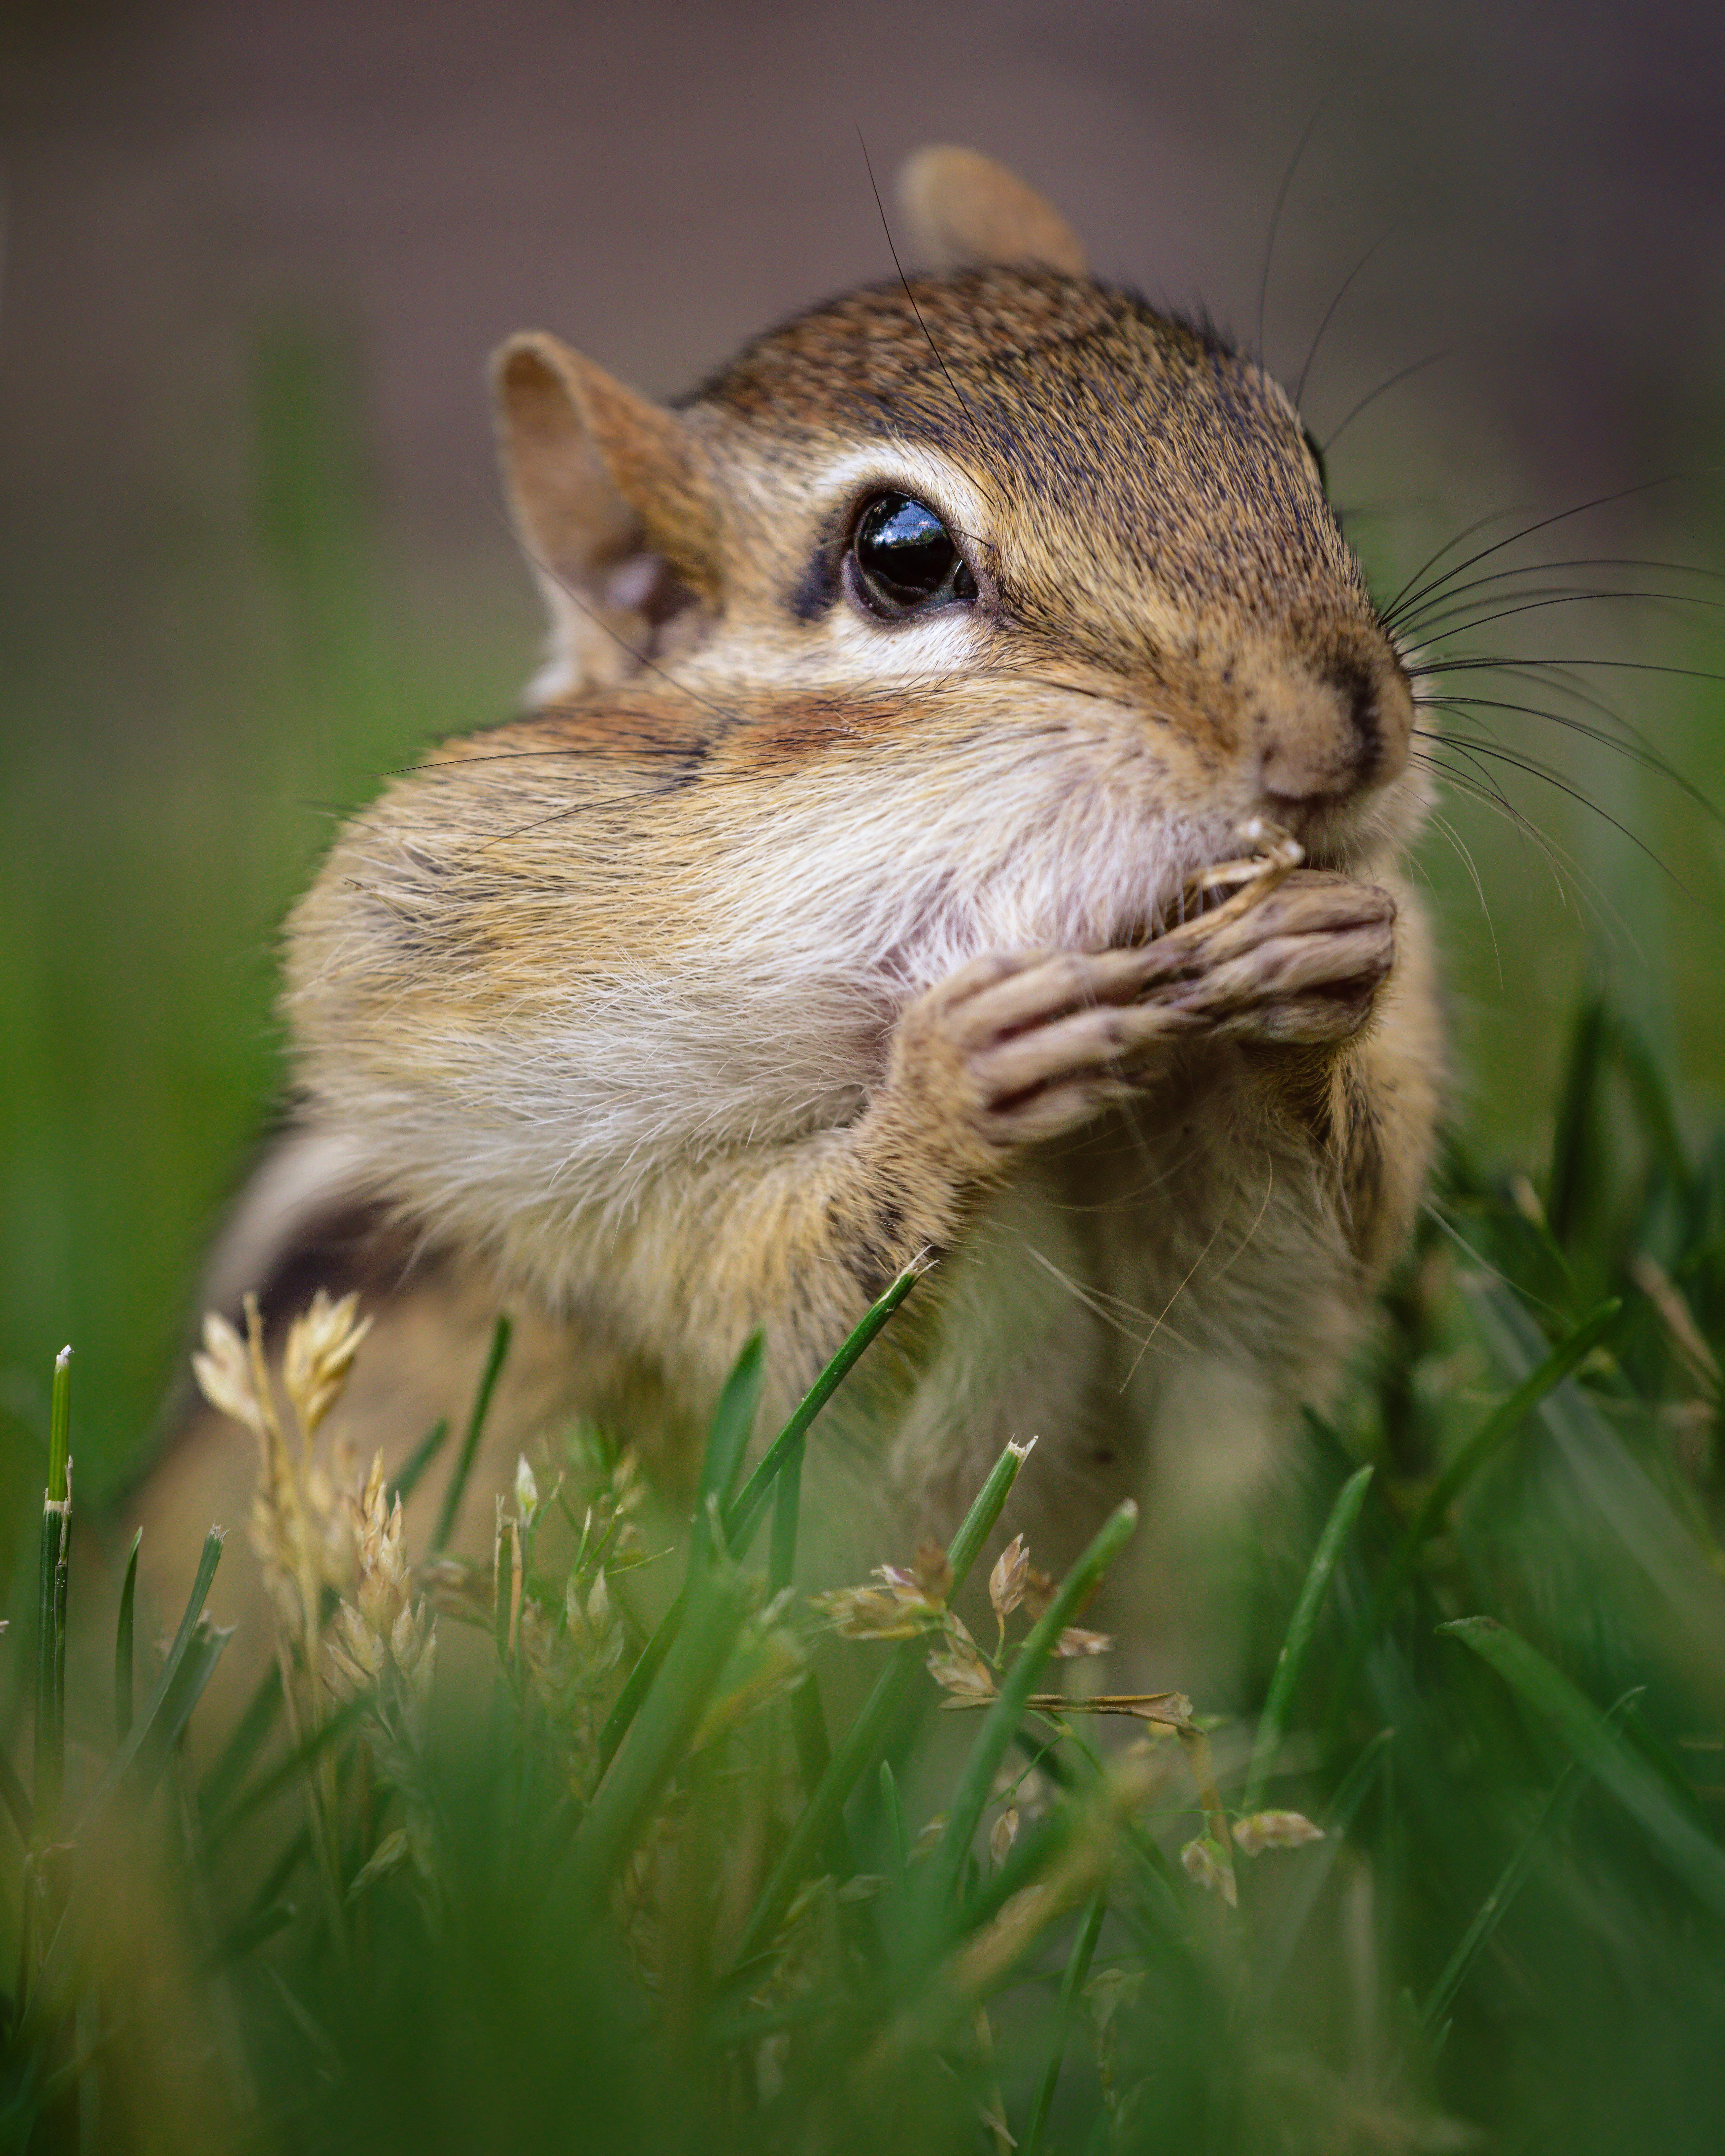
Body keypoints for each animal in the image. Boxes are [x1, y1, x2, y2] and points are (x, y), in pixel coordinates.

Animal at [136, 146, 1442, 1634]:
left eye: (1302, 452)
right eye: (901, 552)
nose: (1338, 746)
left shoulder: (1213, 1343)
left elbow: (1263, 1304)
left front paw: (1330, 958)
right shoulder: (544, 1162)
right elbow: (762, 1329)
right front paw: (950, 1084)